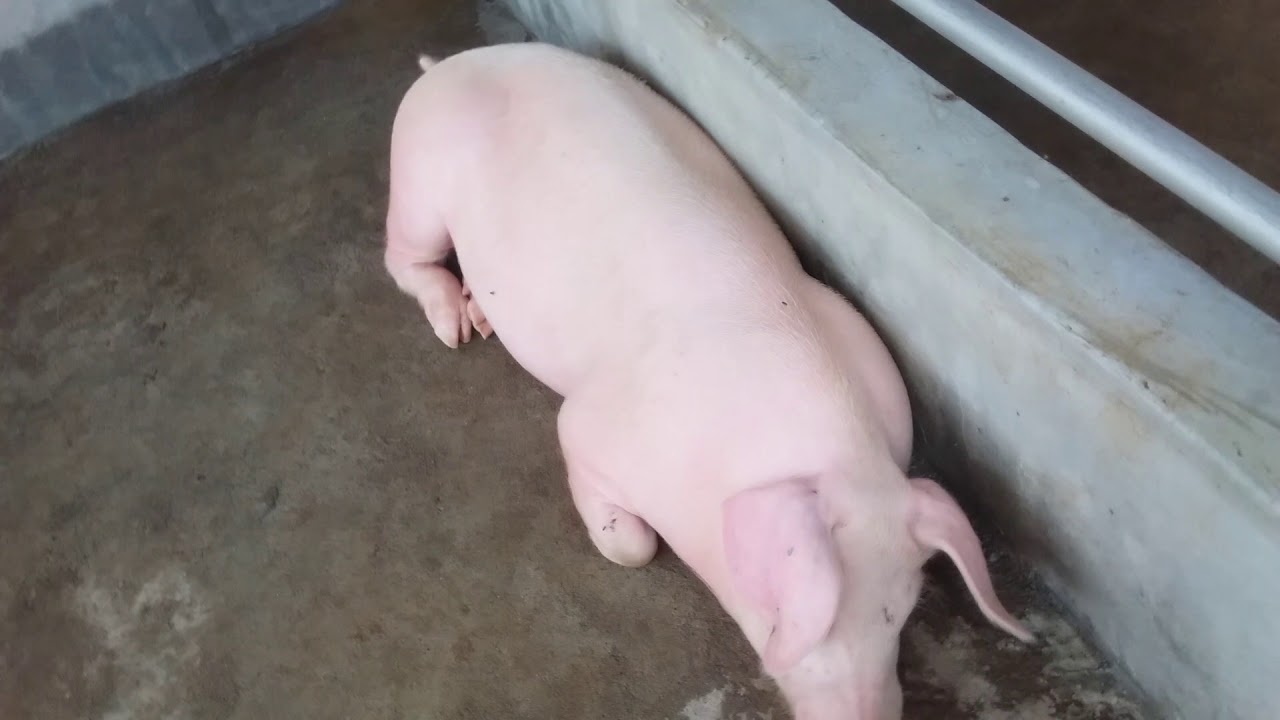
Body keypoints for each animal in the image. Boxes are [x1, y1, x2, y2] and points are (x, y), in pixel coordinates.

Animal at [383, 42, 1033, 719]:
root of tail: (448, 64)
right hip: (416, 179)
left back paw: (480, 315)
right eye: (790, 616)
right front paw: (626, 537)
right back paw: (456, 327)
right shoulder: (589, 425)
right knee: (404, 257)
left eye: (898, 616)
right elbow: (630, 544)